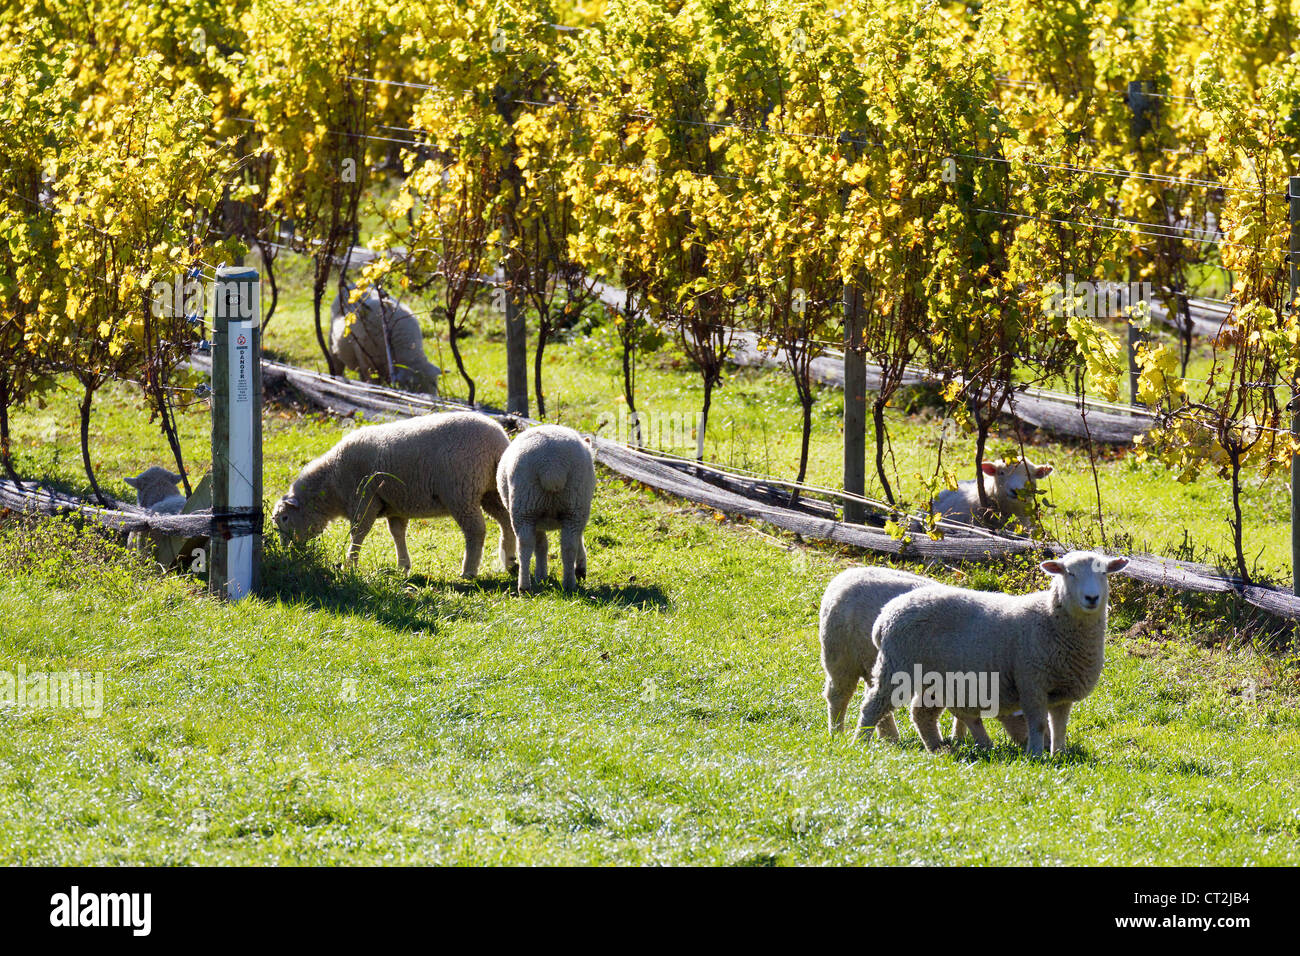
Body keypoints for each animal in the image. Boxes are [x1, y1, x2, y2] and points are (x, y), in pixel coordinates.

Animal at [271, 411, 517, 577]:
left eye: (285, 518)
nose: (286, 553)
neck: (332, 481)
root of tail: (498, 441)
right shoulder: (396, 504)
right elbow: (397, 533)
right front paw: (403, 566)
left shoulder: (364, 500)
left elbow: (358, 533)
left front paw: (350, 564)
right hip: (491, 491)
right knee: (507, 521)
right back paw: (510, 561)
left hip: (461, 491)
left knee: (476, 530)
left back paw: (469, 571)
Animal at [496, 424, 596, 593]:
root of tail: (552, 466)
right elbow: (572, 540)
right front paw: (580, 569)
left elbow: (541, 546)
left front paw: (541, 575)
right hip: (574, 505)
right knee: (569, 546)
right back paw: (569, 584)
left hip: (526, 506)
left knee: (525, 545)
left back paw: (524, 585)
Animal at [819, 566, 1029, 746]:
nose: (1027, 743)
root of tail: (844, 577)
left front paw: (959, 738)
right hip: (842, 657)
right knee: (839, 696)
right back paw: (838, 733)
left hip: (874, 665)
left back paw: (890, 738)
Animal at [856, 550, 1129, 756]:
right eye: (1069, 573)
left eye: (1104, 573)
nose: (1092, 598)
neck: (1051, 619)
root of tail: (885, 615)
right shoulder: (1031, 682)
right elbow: (1039, 724)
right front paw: (1036, 756)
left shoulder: (1062, 690)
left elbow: (1059, 726)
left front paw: (1059, 754)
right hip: (897, 667)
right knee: (873, 705)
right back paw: (860, 743)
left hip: (933, 680)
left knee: (921, 713)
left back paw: (937, 748)